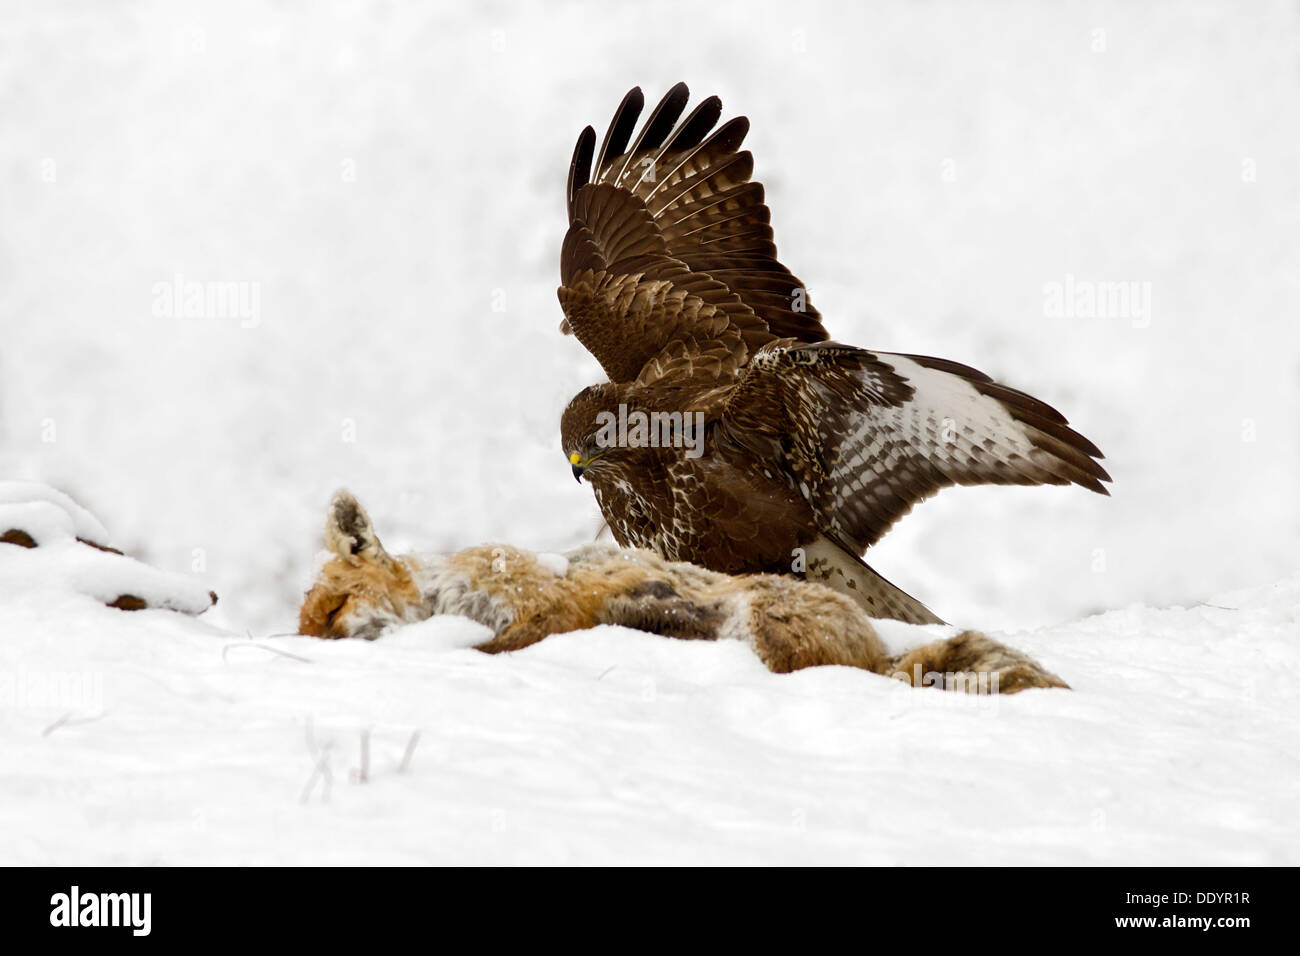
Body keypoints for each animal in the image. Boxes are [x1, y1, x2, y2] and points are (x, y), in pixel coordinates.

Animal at [299, 491, 1068, 694]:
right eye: (302, 627)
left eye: (332, 609)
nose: (313, 654)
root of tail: (879, 651)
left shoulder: (537, 604)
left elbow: (504, 644)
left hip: (765, 618)